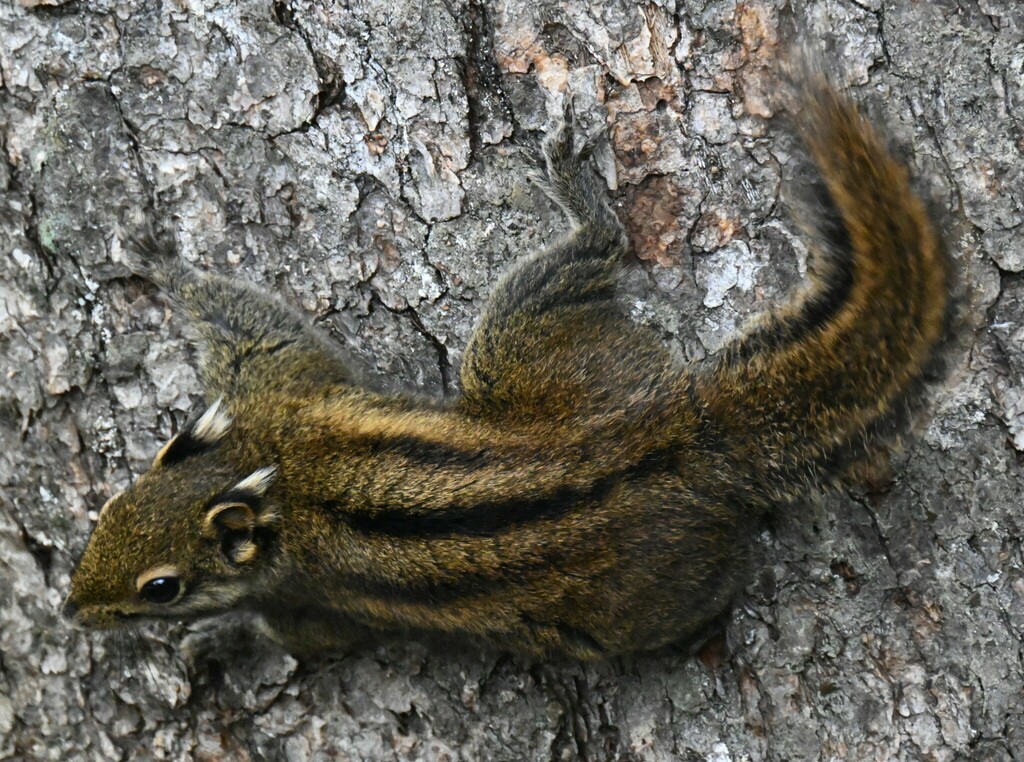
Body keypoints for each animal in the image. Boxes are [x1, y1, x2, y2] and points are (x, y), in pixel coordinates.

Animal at [64, 72, 951, 660]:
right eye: (107, 516)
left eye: (162, 589)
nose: (74, 612)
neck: (275, 478)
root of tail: (673, 435)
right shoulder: (273, 389)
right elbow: (249, 320)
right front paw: (154, 259)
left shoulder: (302, 559)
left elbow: (301, 638)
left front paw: (217, 637)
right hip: (543, 350)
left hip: (622, 571)